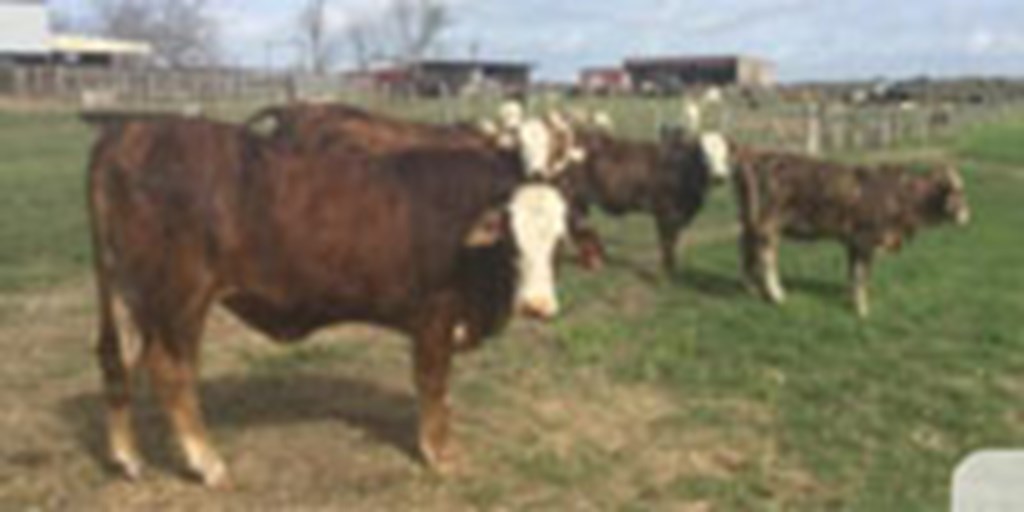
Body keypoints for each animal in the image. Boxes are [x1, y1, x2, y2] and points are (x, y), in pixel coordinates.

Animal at [84, 114, 569, 487]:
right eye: (511, 240)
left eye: (559, 241)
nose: (539, 305)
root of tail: (129, 130)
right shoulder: (436, 316)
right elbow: (433, 385)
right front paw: (439, 453)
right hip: (179, 298)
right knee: (171, 372)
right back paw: (207, 463)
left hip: (124, 291)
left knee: (116, 359)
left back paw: (128, 458)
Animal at [560, 125, 731, 273]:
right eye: (703, 154)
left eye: (725, 154)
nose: (720, 177)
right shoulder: (665, 213)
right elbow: (667, 241)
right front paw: (668, 270)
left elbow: (674, 240)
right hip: (571, 194)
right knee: (576, 224)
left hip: (580, 200)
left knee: (580, 225)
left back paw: (593, 259)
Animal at [731, 147, 970, 317]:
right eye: (957, 191)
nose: (967, 216)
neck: (898, 195)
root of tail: (754, 155)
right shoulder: (865, 241)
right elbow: (861, 275)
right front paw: (862, 309)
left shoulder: (853, 243)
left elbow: (853, 273)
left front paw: (852, 299)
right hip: (768, 226)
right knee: (766, 258)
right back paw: (777, 295)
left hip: (751, 223)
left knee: (746, 252)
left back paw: (751, 289)